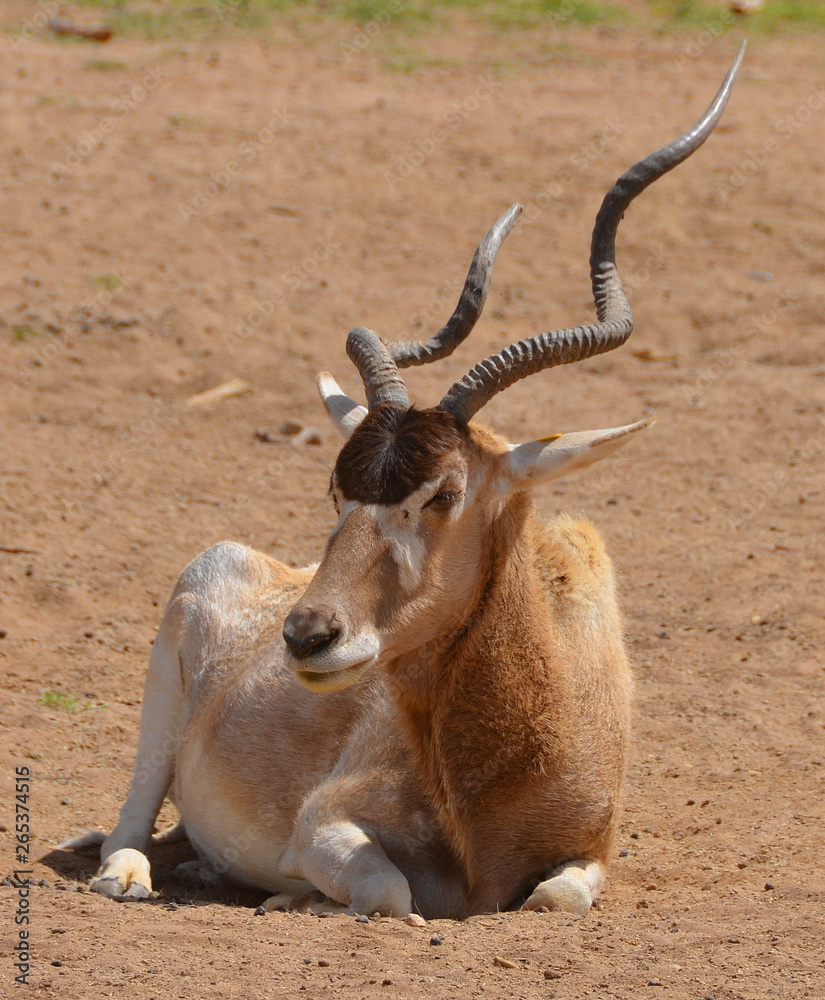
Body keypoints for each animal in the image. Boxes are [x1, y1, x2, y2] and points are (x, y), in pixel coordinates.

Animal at [64, 49, 743, 919]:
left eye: (443, 493)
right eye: (337, 492)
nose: (306, 635)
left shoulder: (590, 851)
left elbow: (553, 898)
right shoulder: (324, 827)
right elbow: (392, 895)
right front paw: (301, 900)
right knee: (132, 825)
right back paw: (129, 873)